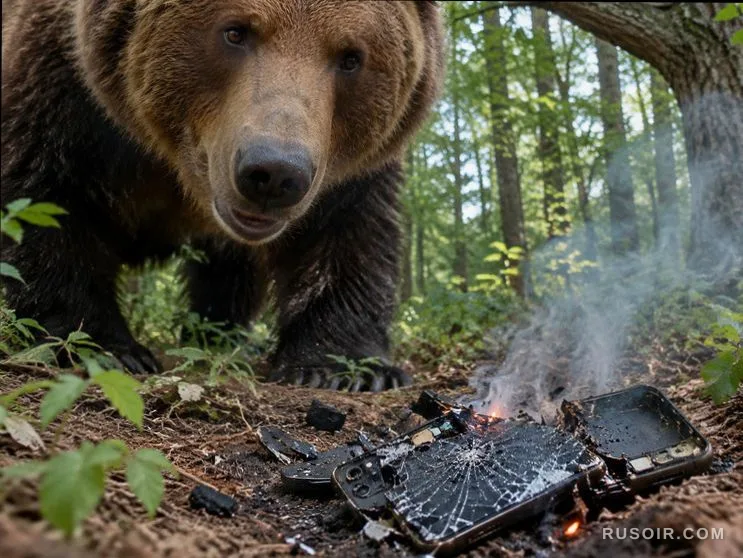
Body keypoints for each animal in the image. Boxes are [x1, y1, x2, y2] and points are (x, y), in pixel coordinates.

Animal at [1, 0, 445, 391]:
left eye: (351, 57)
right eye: (235, 32)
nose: (275, 173)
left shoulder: (347, 171)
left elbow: (348, 229)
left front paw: (345, 368)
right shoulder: (67, 92)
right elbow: (50, 200)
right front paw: (104, 347)